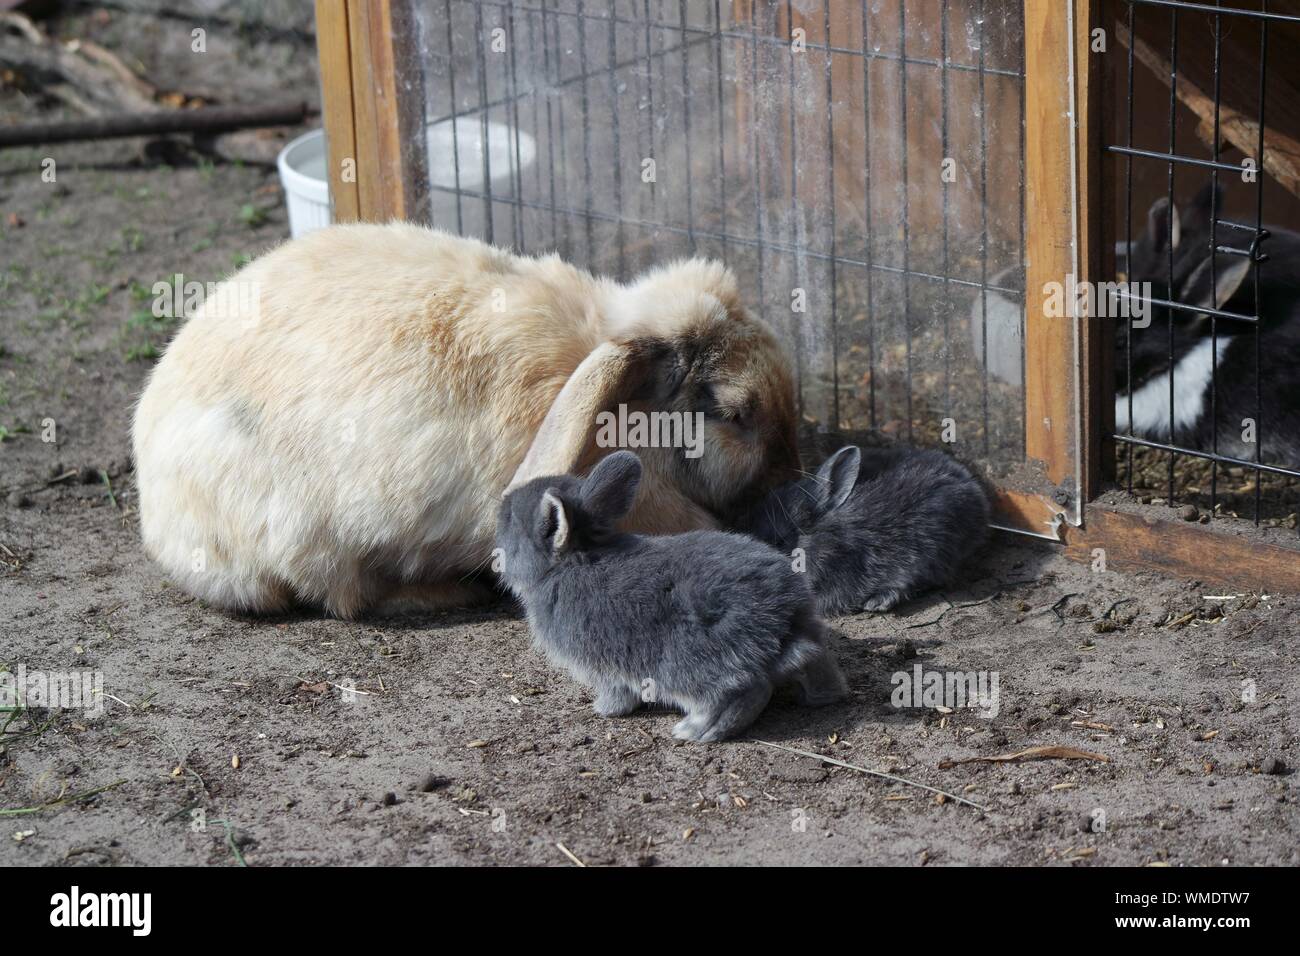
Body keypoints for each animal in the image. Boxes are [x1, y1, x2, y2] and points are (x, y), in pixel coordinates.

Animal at [495, 450, 848, 742]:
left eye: (510, 518)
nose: (501, 504)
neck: (573, 559)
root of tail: (786, 614)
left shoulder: (601, 667)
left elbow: (618, 695)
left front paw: (602, 710)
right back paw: (823, 695)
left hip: (692, 666)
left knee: (744, 694)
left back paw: (693, 732)